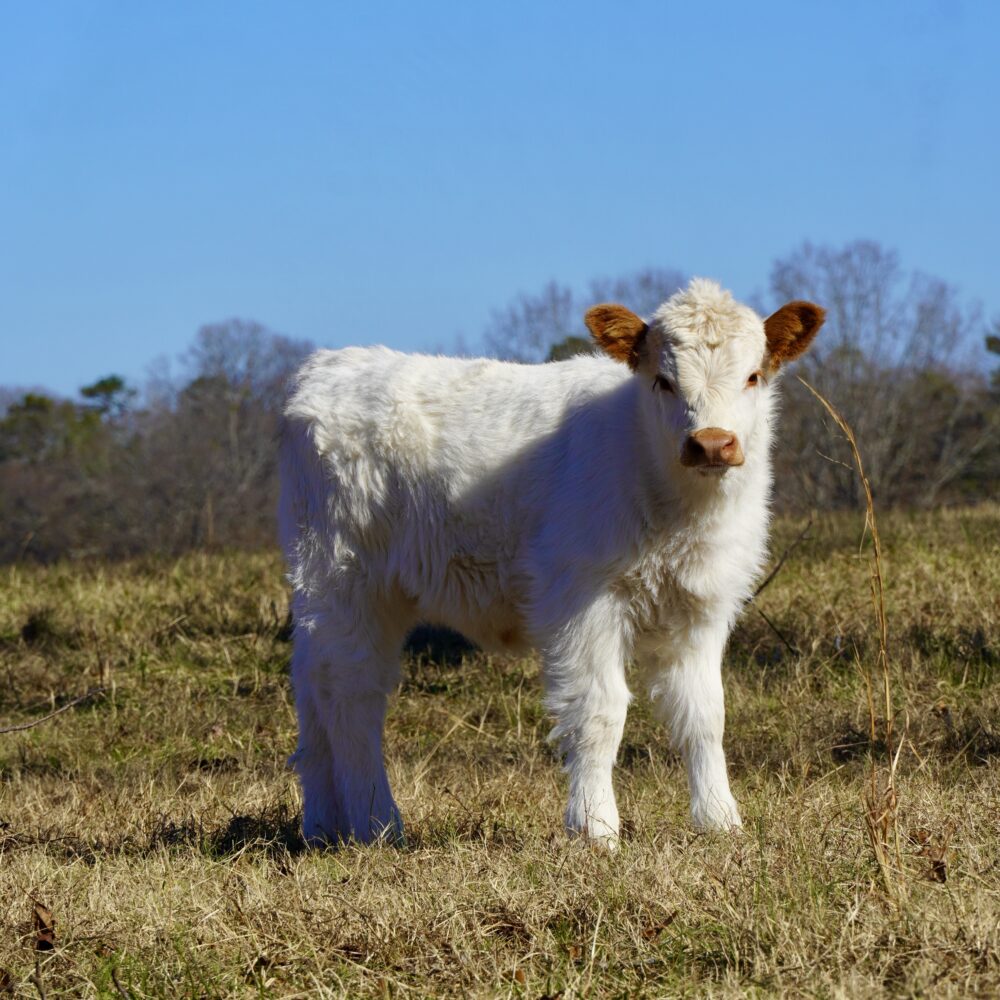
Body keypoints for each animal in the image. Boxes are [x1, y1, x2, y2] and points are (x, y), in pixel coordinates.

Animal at [278, 278, 824, 846]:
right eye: (663, 381)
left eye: (753, 376)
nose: (712, 444)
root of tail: (328, 366)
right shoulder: (582, 598)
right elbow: (599, 712)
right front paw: (596, 827)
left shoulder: (702, 607)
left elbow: (704, 716)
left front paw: (720, 822)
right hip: (349, 579)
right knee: (353, 694)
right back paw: (376, 822)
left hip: (325, 593)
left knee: (314, 688)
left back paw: (322, 822)